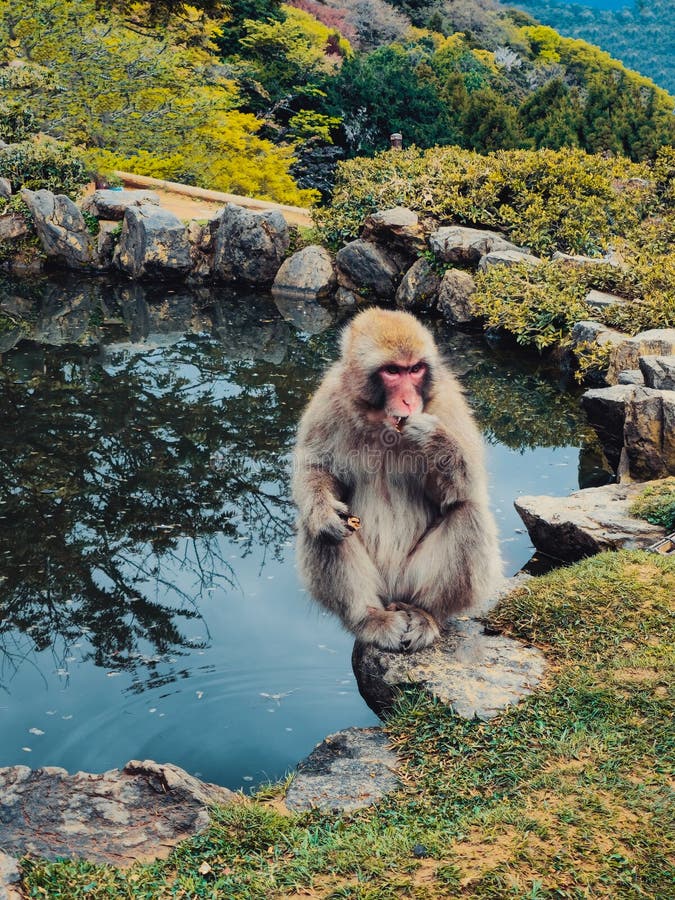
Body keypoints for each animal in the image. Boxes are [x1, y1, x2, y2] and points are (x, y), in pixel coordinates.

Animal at [292, 307, 502, 652]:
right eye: (392, 371)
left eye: (415, 369)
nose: (408, 402)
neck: (383, 425)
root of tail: (392, 594)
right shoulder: (329, 400)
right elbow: (316, 467)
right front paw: (322, 511)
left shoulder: (449, 405)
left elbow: (466, 490)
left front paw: (434, 439)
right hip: (378, 584)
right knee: (320, 530)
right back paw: (369, 617)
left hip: (411, 579)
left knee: (468, 512)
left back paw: (426, 613)